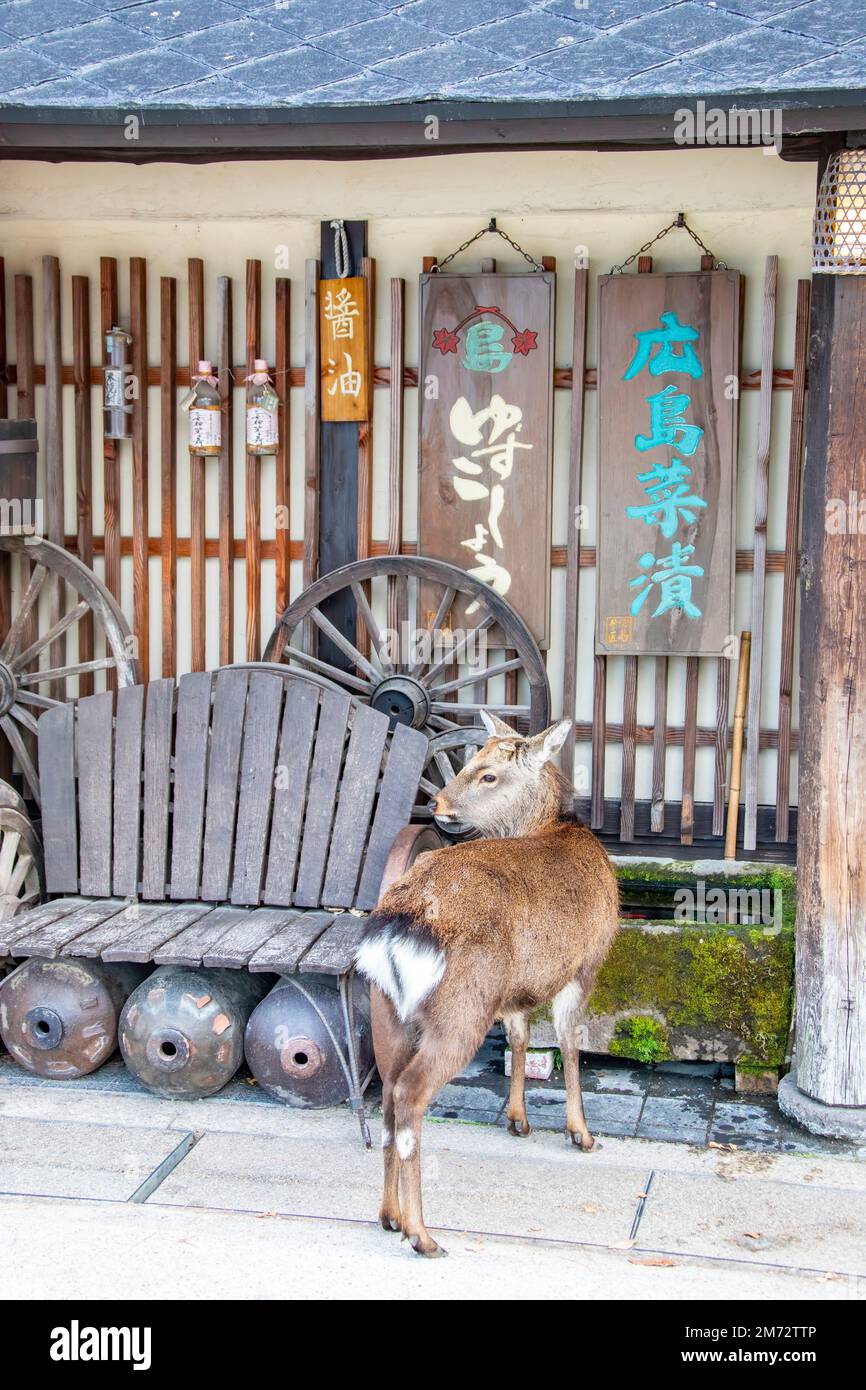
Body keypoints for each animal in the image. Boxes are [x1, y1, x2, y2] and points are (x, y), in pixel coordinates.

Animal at [355, 710, 619, 1257]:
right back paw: (423, 1235)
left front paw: (518, 1119)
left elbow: (520, 1038)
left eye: (488, 773)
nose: (437, 803)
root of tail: (399, 923)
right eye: (469, 761)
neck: (553, 827)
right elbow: (571, 1044)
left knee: (388, 1091)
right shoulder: (585, 962)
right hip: (461, 1008)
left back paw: (390, 1216)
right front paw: (581, 1133)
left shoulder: (514, 991)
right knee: (410, 1094)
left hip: (386, 1008)